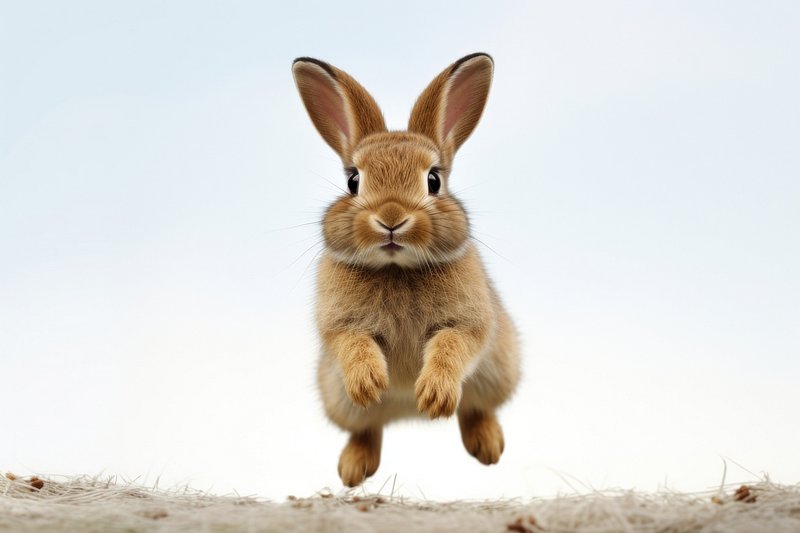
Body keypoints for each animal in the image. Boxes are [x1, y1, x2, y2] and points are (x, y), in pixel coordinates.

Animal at [291, 53, 520, 487]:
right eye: (353, 180)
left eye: (433, 180)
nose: (391, 218)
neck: (396, 268)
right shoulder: (342, 325)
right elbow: (352, 342)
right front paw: (370, 383)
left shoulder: (468, 322)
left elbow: (452, 345)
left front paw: (434, 397)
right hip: (338, 398)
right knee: (367, 427)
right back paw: (352, 470)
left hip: (497, 372)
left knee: (476, 408)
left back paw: (489, 448)